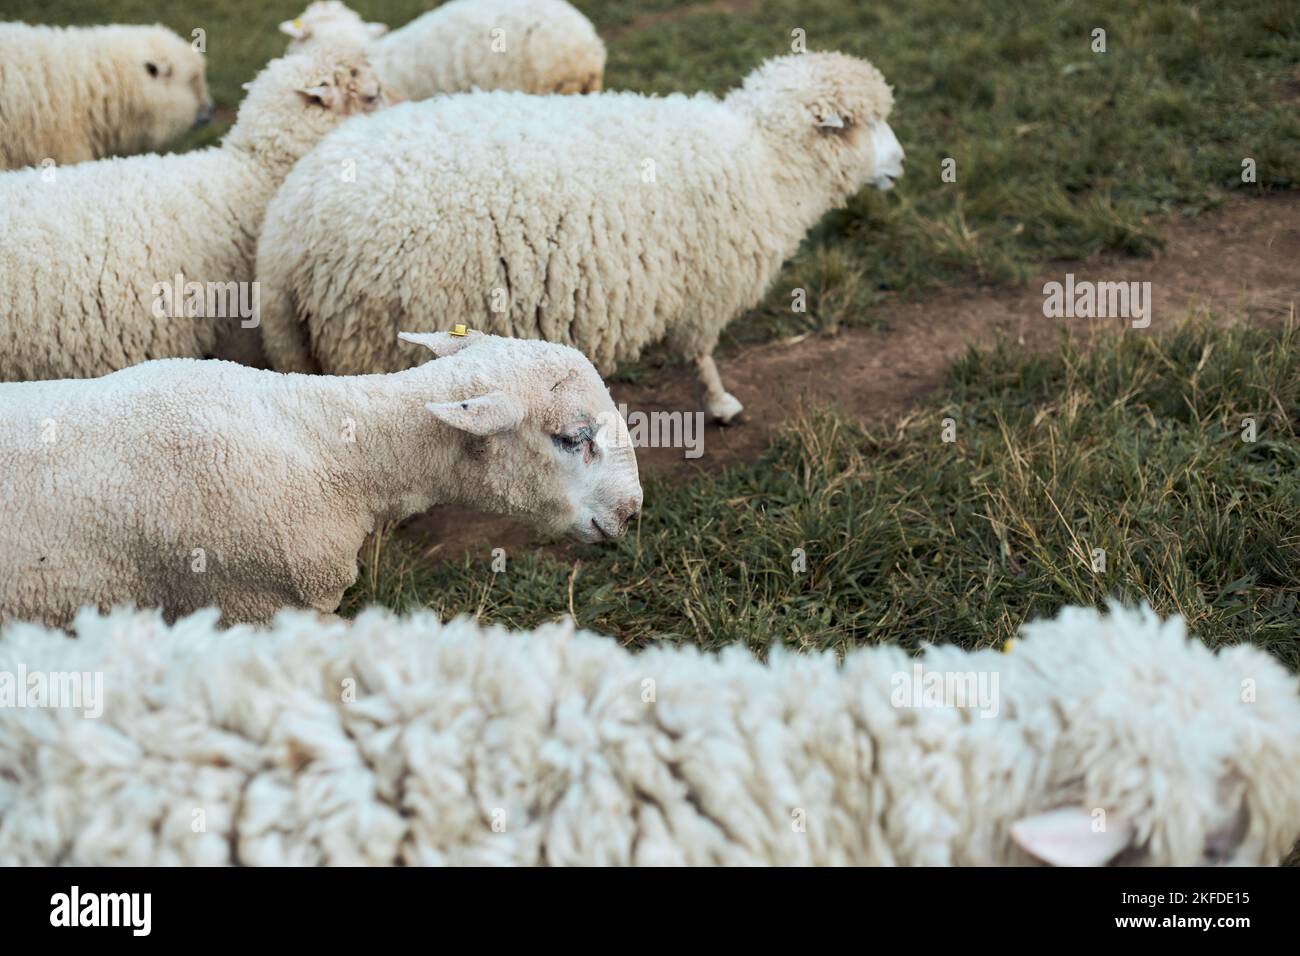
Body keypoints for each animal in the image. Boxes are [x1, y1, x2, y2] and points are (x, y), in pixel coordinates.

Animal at [255, 51, 905, 423]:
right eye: (866, 124)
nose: (901, 165)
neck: (767, 159)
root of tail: (285, 228)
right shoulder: (704, 287)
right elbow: (702, 351)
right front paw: (720, 403)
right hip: (367, 331)